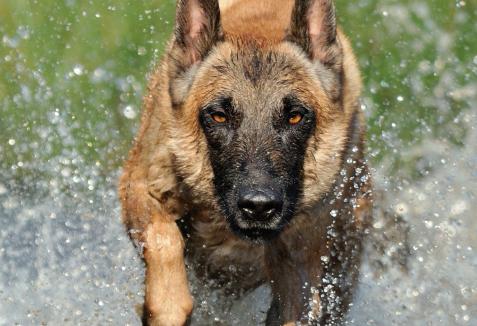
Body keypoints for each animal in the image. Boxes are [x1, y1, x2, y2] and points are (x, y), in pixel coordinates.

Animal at [119, 0, 372, 324]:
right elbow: (165, 240)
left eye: (295, 117)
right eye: (218, 116)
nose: (259, 207)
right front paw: (167, 305)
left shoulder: (299, 269)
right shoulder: (140, 187)